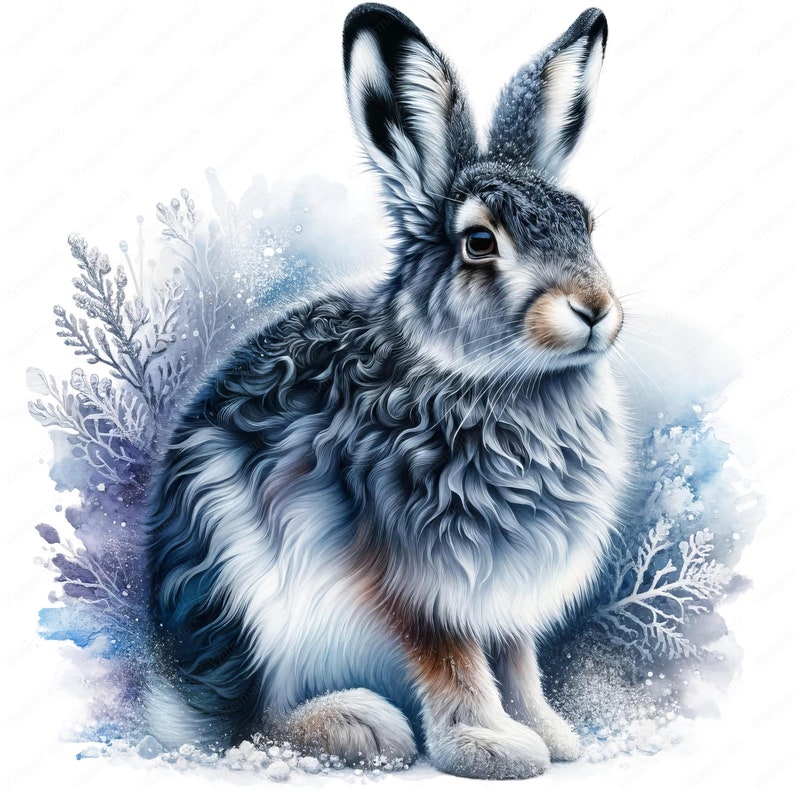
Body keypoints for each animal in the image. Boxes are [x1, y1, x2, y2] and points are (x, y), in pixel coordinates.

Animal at [145, 3, 626, 780]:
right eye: (480, 243)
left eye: (583, 223)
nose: (594, 309)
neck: (487, 381)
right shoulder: (416, 583)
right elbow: (454, 664)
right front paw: (492, 750)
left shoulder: (506, 597)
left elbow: (518, 662)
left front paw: (550, 736)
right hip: (245, 606)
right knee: (247, 725)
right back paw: (363, 728)